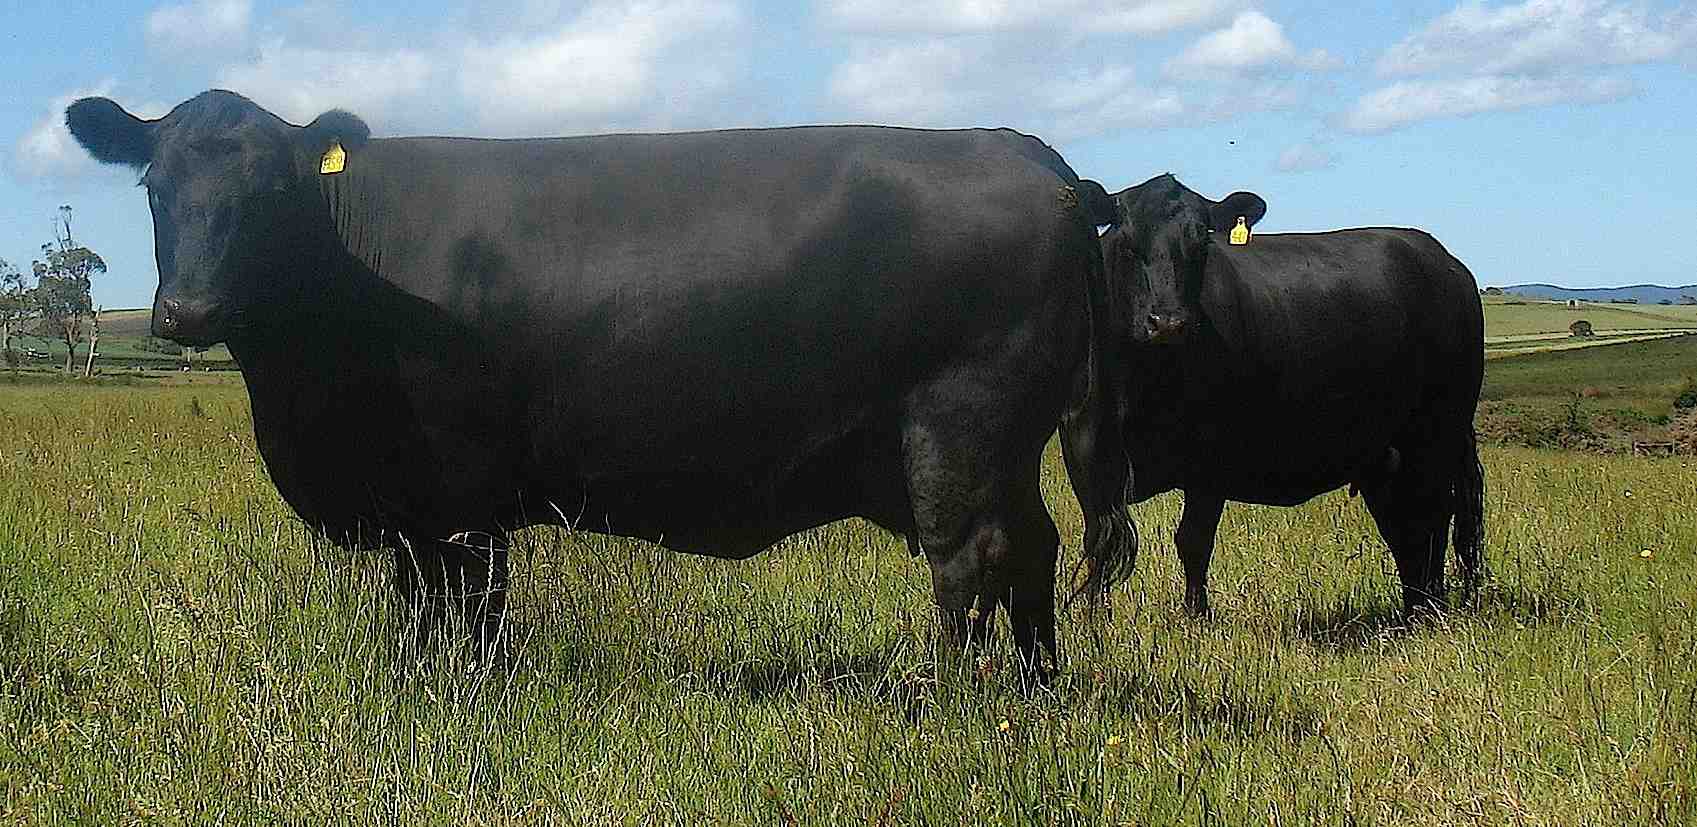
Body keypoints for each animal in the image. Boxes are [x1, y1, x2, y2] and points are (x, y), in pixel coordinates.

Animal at [66, 90, 1136, 675]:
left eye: (270, 190)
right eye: (156, 186)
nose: (187, 310)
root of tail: (1027, 152)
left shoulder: (456, 495)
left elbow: (463, 608)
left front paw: (456, 695)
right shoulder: (412, 504)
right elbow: (418, 608)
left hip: (958, 425)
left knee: (969, 561)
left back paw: (946, 699)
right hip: (1005, 442)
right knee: (1034, 551)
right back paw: (1034, 690)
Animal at [1094, 173, 1485, 615]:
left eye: (1201, 244)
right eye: (1128, 242)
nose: (1168, 322)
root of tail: (1442, 258)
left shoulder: (1212, 458)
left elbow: (1193, 541)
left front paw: (1196, 619)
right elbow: (1104, 545)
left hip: (1436, 433)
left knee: (1432, 517)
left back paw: (1430, 610)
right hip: (1384, 453)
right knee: (1404, 527)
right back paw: (1412, 610)